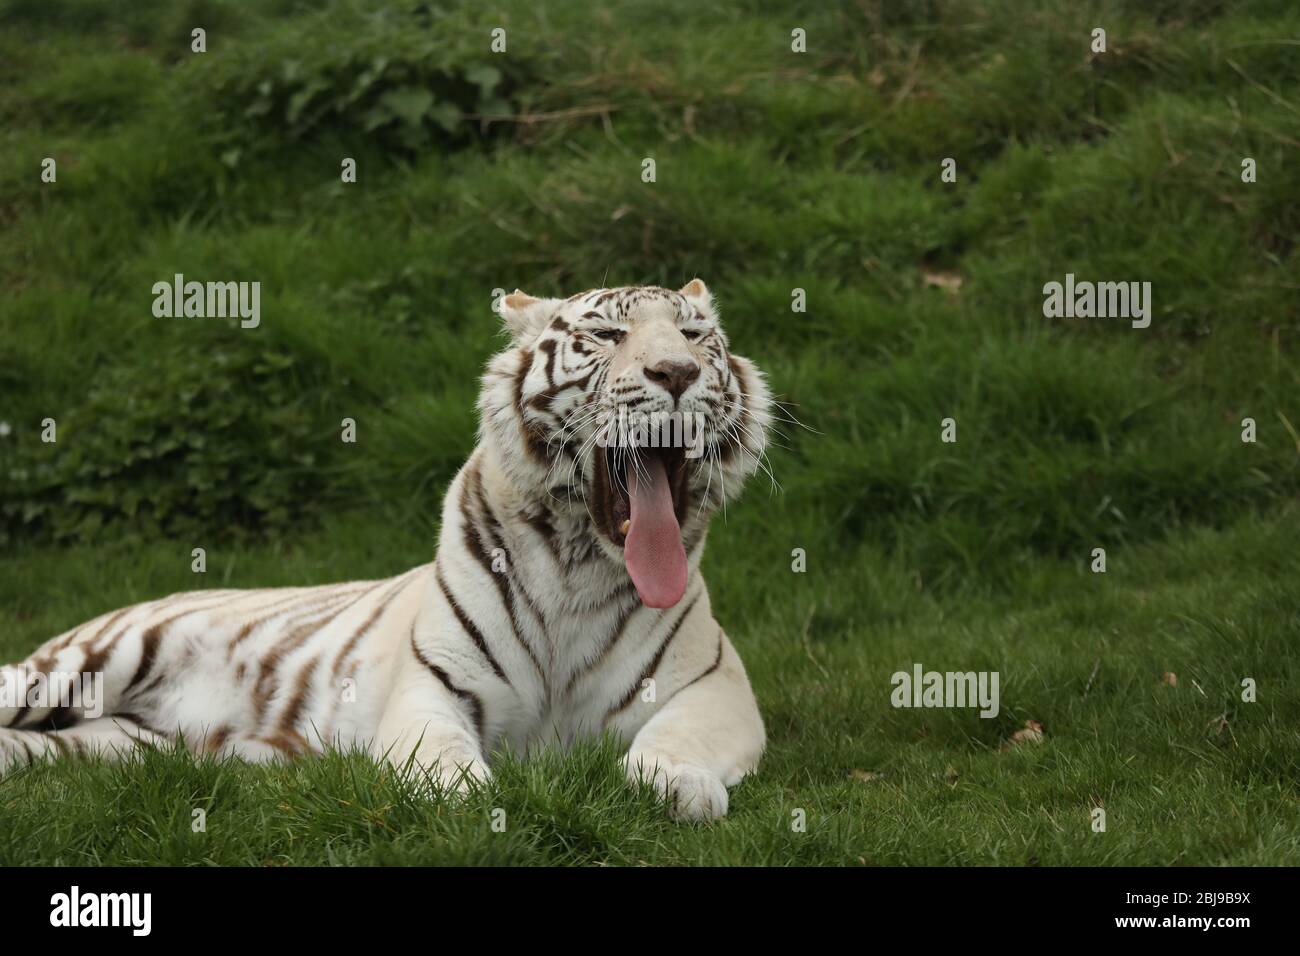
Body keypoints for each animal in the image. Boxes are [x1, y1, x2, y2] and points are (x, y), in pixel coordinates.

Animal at [0, 279, 771, 820]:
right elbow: (441, 758)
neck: (577, 560)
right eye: (609, 334)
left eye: (695, 335)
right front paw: (466, 801)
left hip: (117, 746)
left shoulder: (714, 686)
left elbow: (675, 742)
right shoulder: (436, 684)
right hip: (88, 662)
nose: (676, 373)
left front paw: (676, 788)